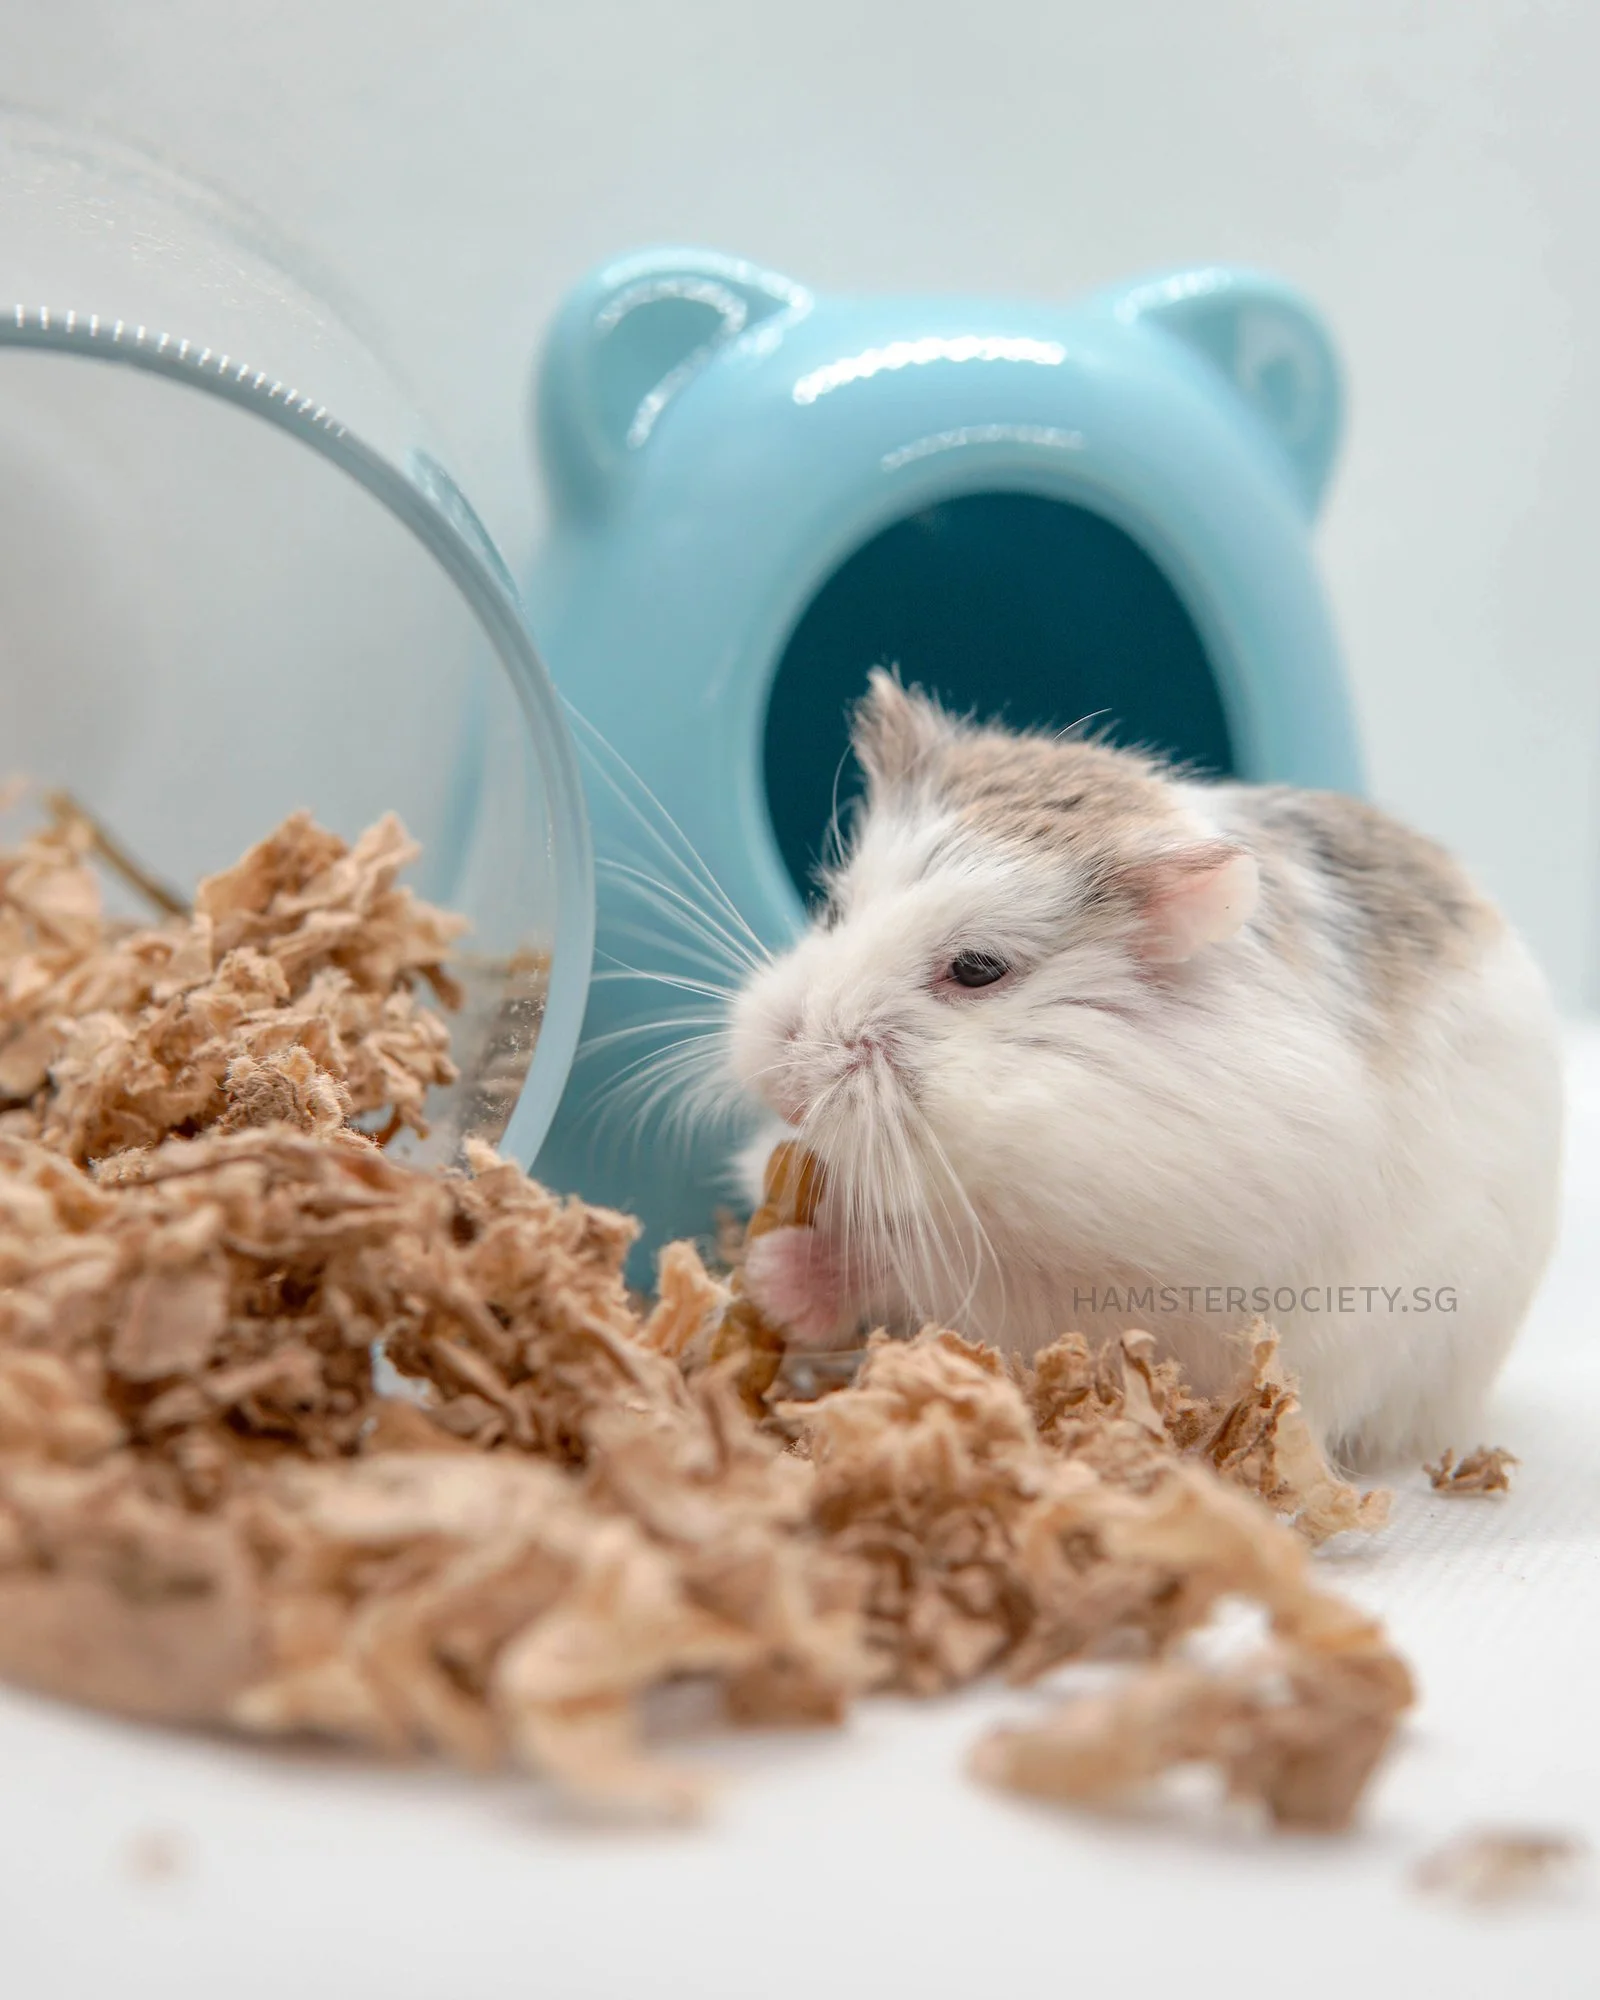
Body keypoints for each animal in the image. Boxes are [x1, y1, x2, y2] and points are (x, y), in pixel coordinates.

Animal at [727, 671, 1563, 1472]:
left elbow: (906, 1265)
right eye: (834, 911)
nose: (785, 1091)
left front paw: (771, 1276)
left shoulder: (1075, 1279)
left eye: (977, 969)